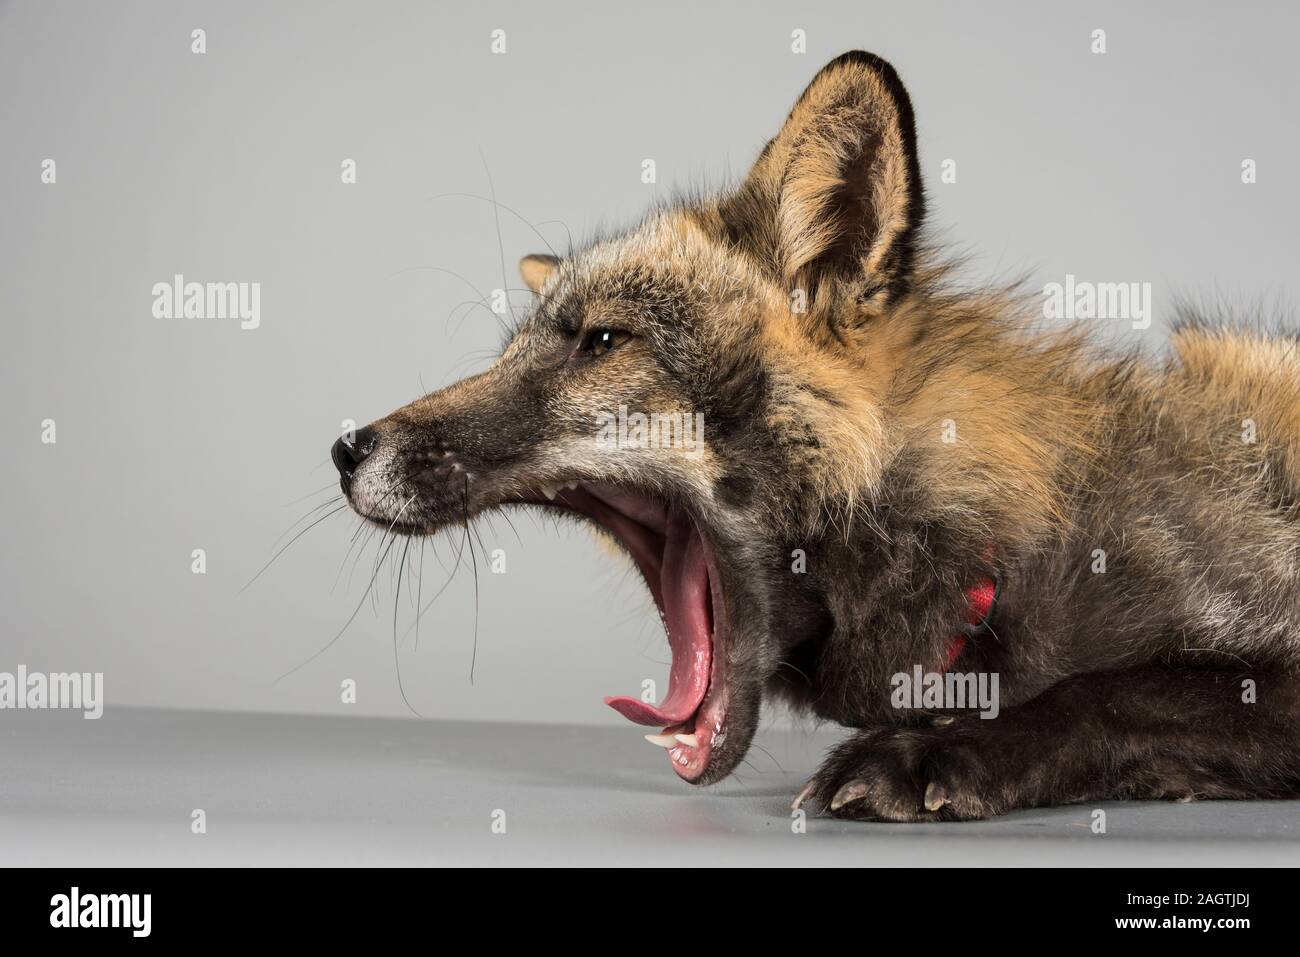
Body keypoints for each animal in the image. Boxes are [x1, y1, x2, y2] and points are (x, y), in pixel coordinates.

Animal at [331, 51, 1300, 820]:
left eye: (601, 342)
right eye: (511, 351)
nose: (346, 450)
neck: (994, 542)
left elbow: (1111, 694)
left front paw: (942, 750)